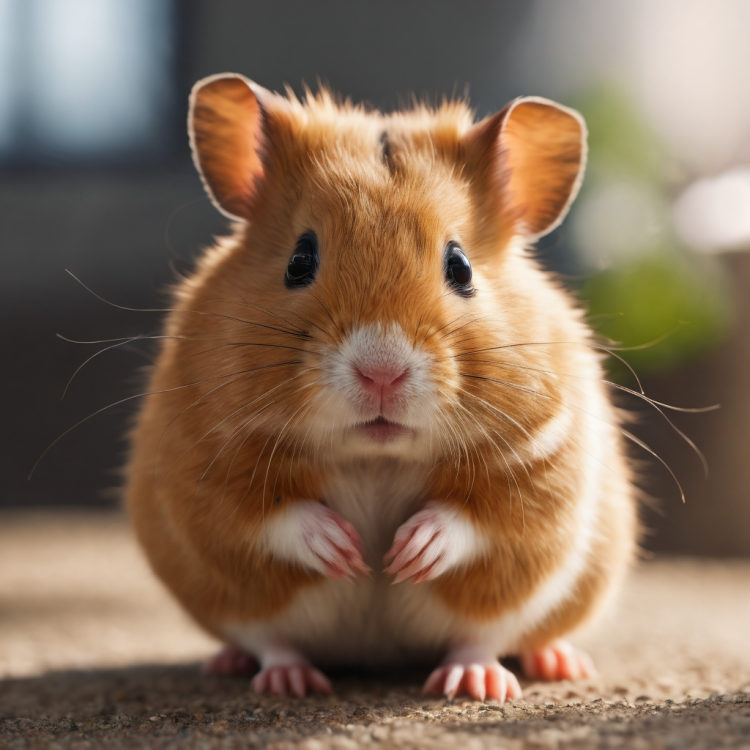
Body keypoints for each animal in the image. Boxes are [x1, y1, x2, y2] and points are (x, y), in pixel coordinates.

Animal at [126, 73, 636, 702]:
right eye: (299, 259)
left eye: (460, 267)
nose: (382, 373)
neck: (375, 456)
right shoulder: (203, 466)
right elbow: (270, 515)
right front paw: (347, 554)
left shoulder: (540, 468)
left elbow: (475, 520)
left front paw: (406, 556)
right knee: (269, 639)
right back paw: (278, 678)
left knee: (484, 640)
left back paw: (499, 678)